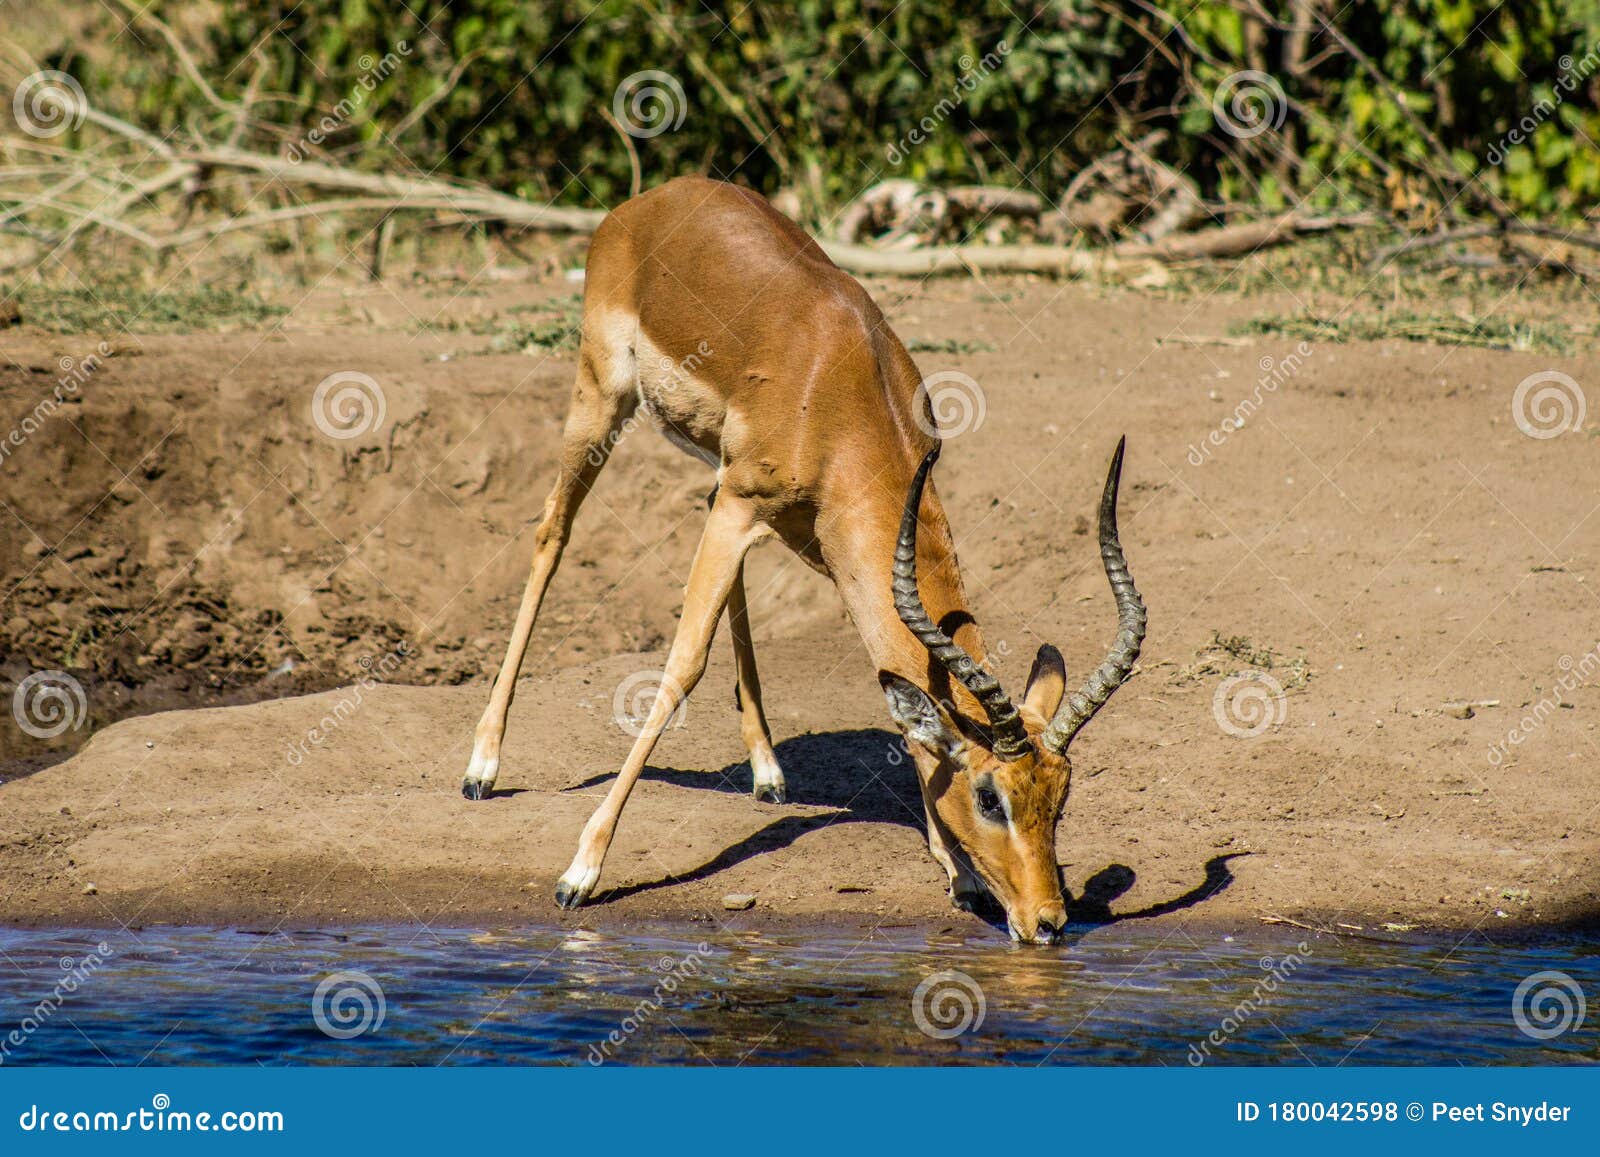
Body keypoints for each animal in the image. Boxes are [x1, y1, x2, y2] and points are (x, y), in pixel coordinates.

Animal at [462, 176, 1146, 944]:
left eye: (1061, 795)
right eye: (990, 796)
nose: (1049, 921)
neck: (842, 386)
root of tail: (648, 201)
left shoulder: (794, 529)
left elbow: (901, 699)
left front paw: (959, 872)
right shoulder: (741, 505)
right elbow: (682, 666)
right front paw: (581, 871)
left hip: (718, 476)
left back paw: (767, 771)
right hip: (603, 402)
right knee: (553, 530)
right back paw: (483, 767)